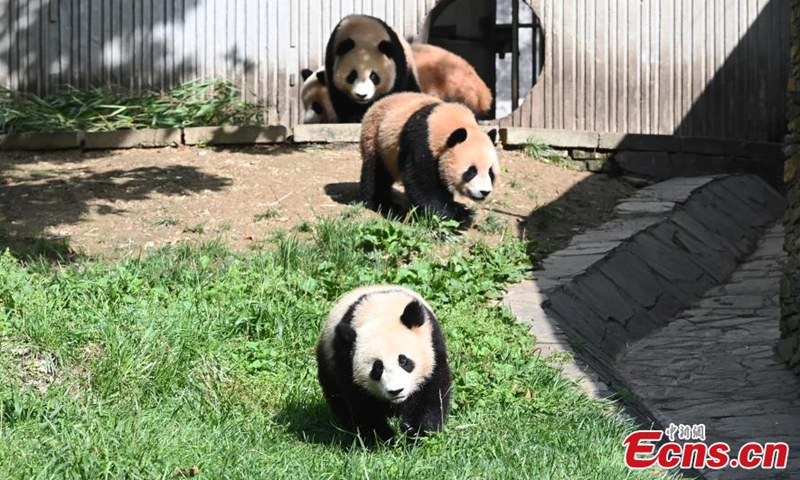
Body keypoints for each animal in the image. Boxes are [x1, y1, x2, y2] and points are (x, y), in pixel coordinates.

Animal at [316, 285, 452, 442]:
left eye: (403, 360)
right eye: (377, 368)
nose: (396, 391)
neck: (381, 312)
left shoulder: (433, 345)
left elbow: (432, 391)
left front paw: (415, 431)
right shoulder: (345, 357)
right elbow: (359, 402)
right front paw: (381, 436)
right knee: (337, 397)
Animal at [360, 92, 499, 227]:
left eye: (490, 172)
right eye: (471, 171)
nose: (484, 192)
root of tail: (379, 102)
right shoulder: (422, 142)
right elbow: (422, 184)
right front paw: (462, 214)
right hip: (376, 138)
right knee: (376, 173)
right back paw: (383, 204)